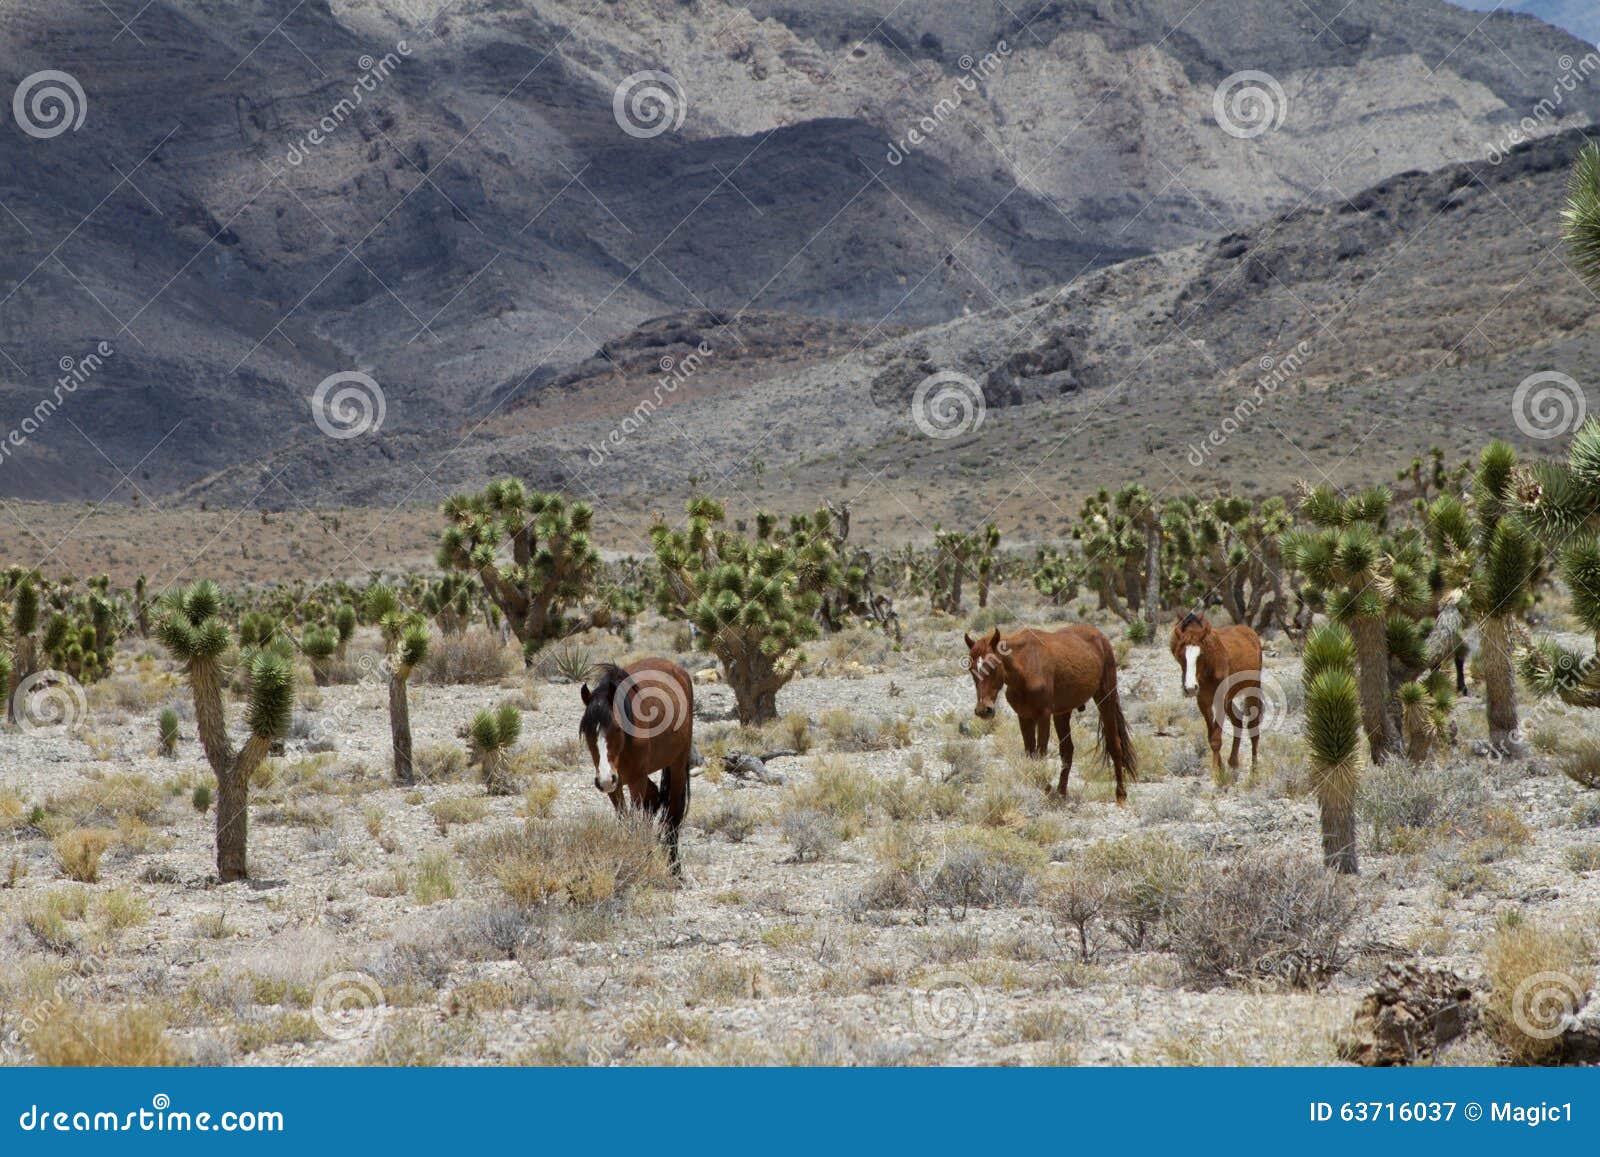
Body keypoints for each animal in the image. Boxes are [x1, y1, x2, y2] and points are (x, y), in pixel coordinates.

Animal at [579, 659, 694, 870]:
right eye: (586, 731)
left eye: (616, 728)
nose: (605, 778)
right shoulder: (615, 786)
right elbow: (626, 821)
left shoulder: (635, 782)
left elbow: (637, 821)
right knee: (654, 798)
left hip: (677, 765)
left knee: (673, 814)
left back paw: (674, 868)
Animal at [963, 625, 1138, 804]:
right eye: (971, 669)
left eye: (993, 666)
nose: (983, 709)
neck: (1026, 667)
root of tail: (1100, 636)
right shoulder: (1024, 717)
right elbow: (1031, 754)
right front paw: (1044, 788)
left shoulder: (1043, 716)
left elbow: (1041, 754)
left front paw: (1045, 789)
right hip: (1062, 714)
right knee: (1067, 750)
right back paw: (1061, 793)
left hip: (1105, 699)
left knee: (1114, 744)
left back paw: (1121, 796)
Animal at [1169, 612, 1264, 783]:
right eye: (1180, 655)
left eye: (1201, 655)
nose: (1190, 688)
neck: (1208, 669)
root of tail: (1249, 632)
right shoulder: (1204, 701)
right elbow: (1211, 735)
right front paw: (1220, 768)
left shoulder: (1220, 700)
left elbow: (1216, 737)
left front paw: (1216, 772)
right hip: (1230, 696)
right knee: (1237, 719)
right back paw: (1233, 763)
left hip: (1253, 687)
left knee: (1253, 727)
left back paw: (1254, 771)